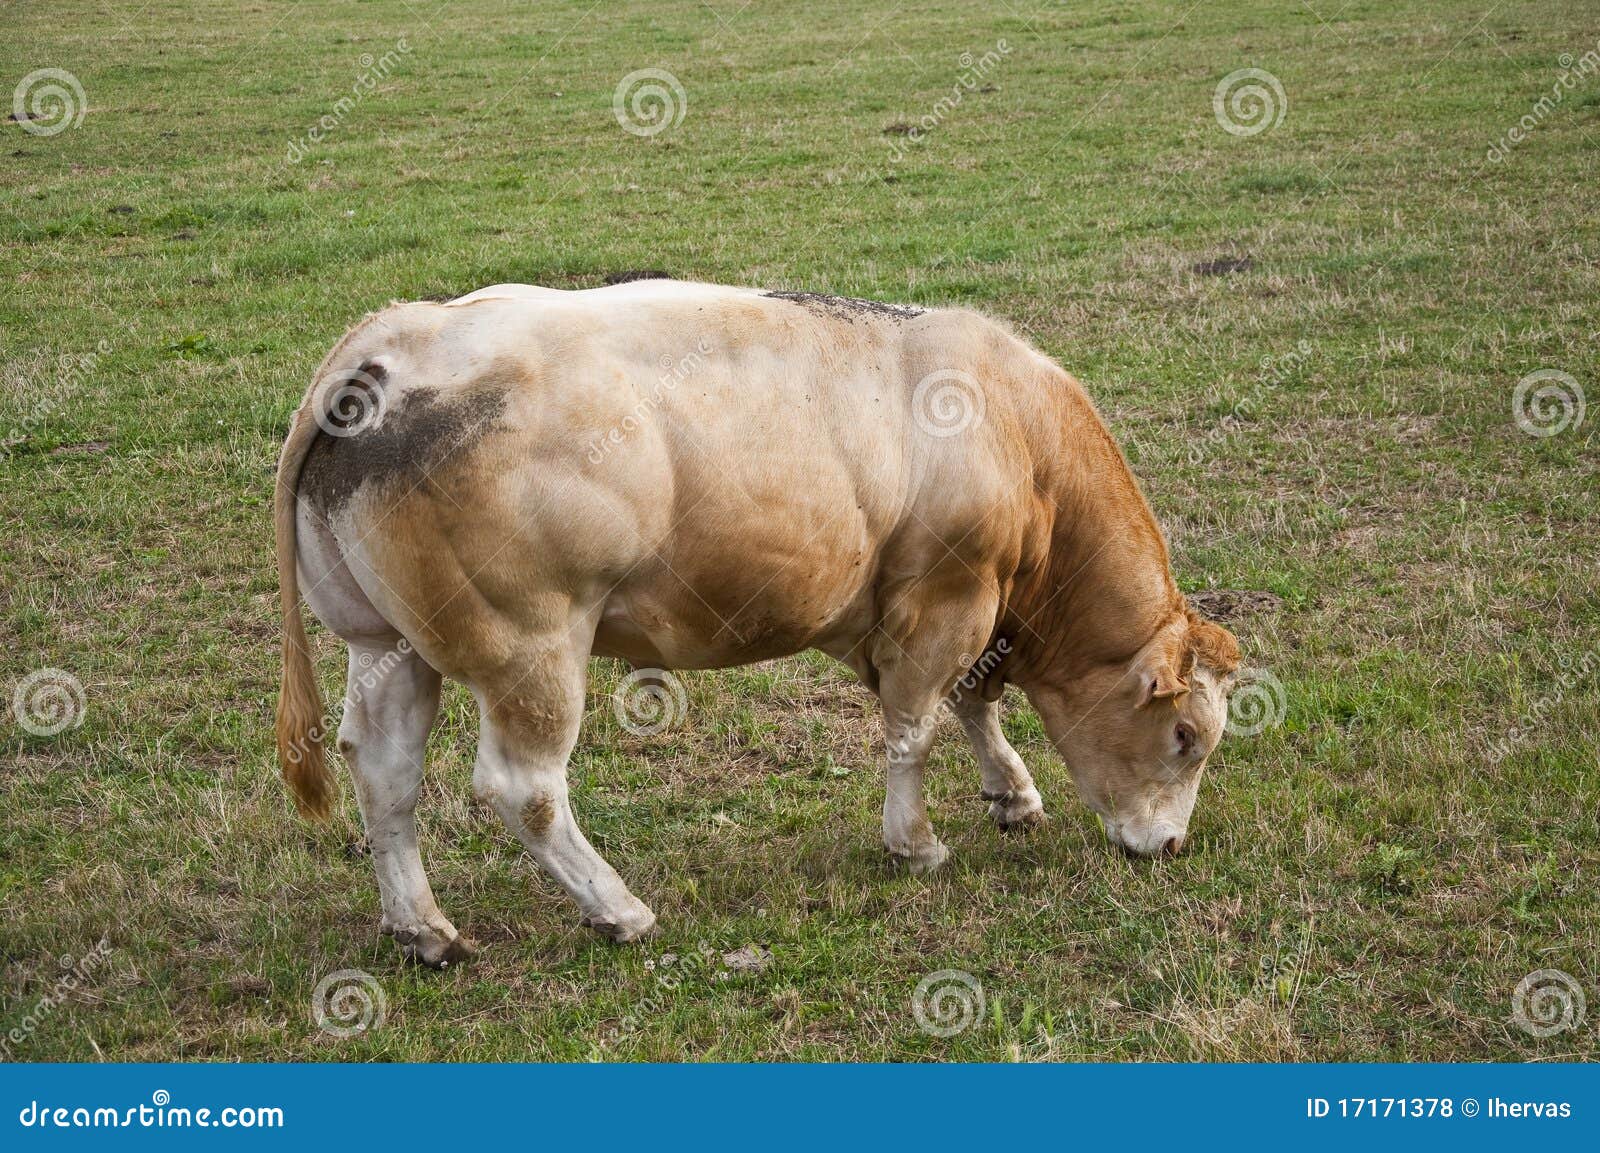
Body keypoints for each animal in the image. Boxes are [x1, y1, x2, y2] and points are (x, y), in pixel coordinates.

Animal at [274, 279, 1241, 966]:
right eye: (1186, 735)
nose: (1172, 844)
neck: (1016, 431)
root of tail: (392, 341)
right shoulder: (945, 596)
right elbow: (916, 725)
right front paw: (916, 843)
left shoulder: (931, 608)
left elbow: (970, 703)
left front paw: (1011, 793)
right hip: (532, 646)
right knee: (525, 786)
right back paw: (619, 909)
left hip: (385, 644)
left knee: (384, 769)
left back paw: (424, 929)